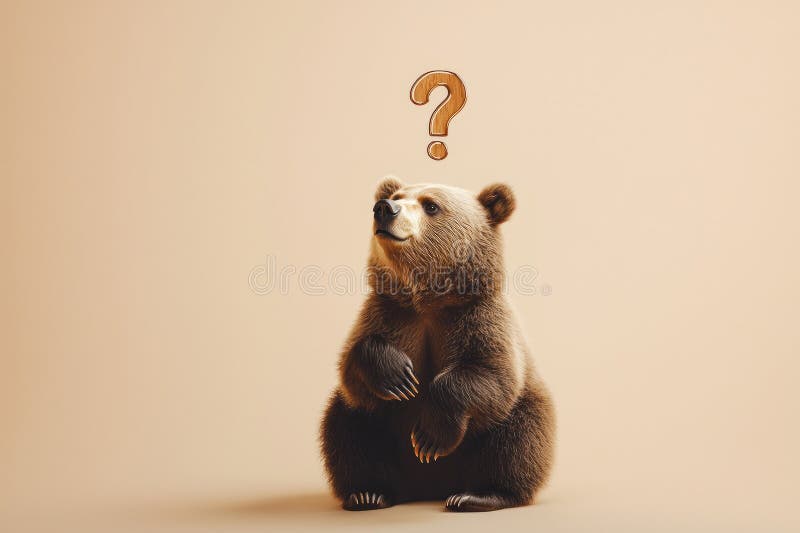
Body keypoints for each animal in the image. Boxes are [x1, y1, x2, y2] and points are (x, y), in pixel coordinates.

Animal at [319, 177, 555, 512]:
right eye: (396, 196)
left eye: (431, 205)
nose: (384, 209)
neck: (430, 302)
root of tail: (429, 487)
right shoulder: (390, 314)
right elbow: (351, 369)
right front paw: (398, 376)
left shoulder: (480, 317)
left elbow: (494, 375)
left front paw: (429, 438)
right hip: (379, 431)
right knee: (349, 427)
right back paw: (368, 493)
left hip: (520, 411)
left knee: (517, 437)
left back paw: (479, 495)